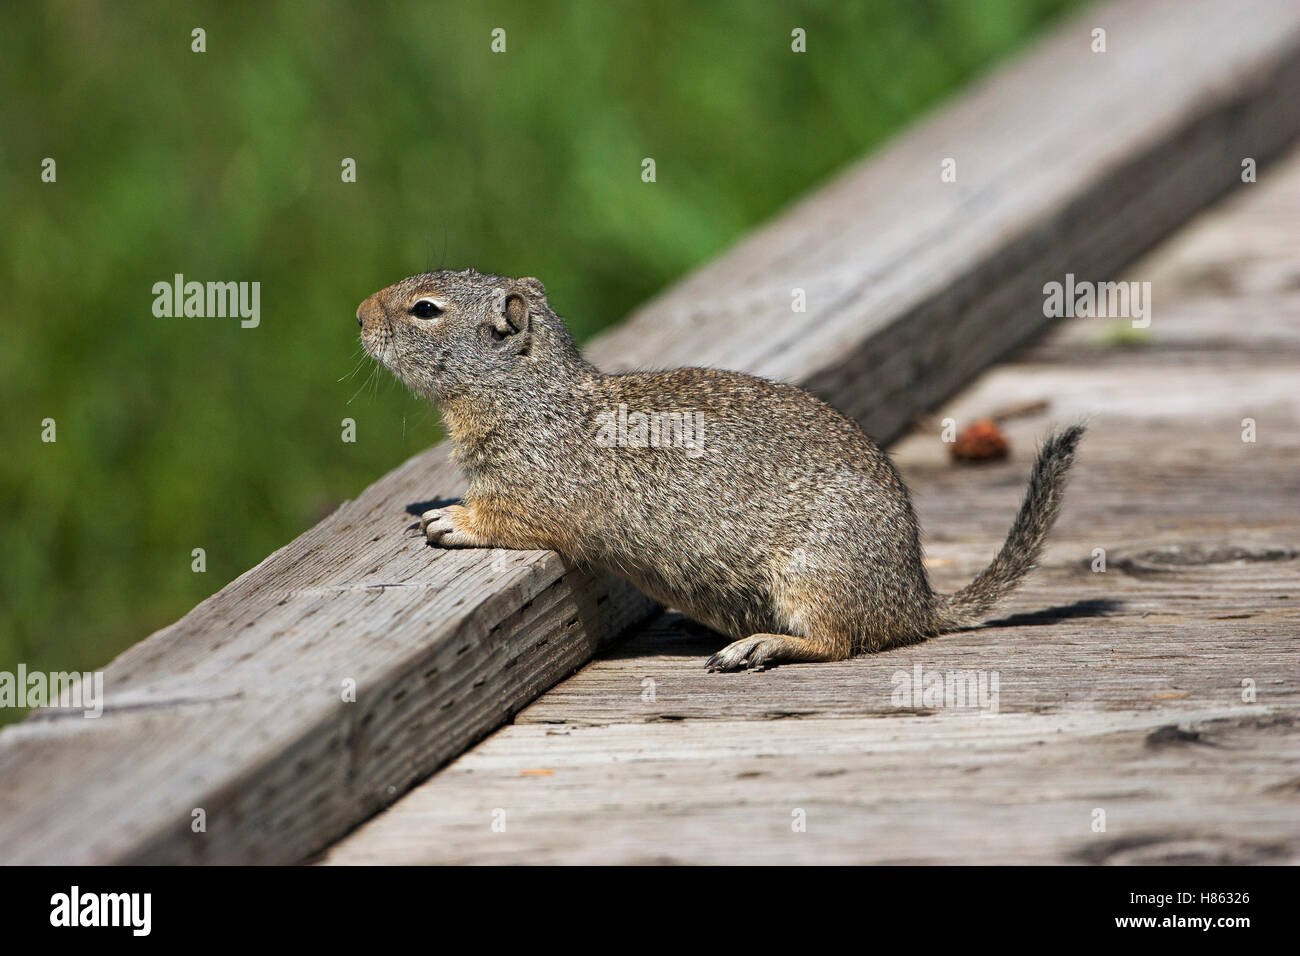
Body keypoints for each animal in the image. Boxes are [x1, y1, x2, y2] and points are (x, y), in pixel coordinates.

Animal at [358, 269, 1085, 672]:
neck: (530, 394)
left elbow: (509, 517)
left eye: (425, 309)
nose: (359, 314)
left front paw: (450, 518)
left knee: (842, 640)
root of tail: (913, 600)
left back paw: (762, 646)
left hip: (811, 573)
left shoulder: (538, 484)